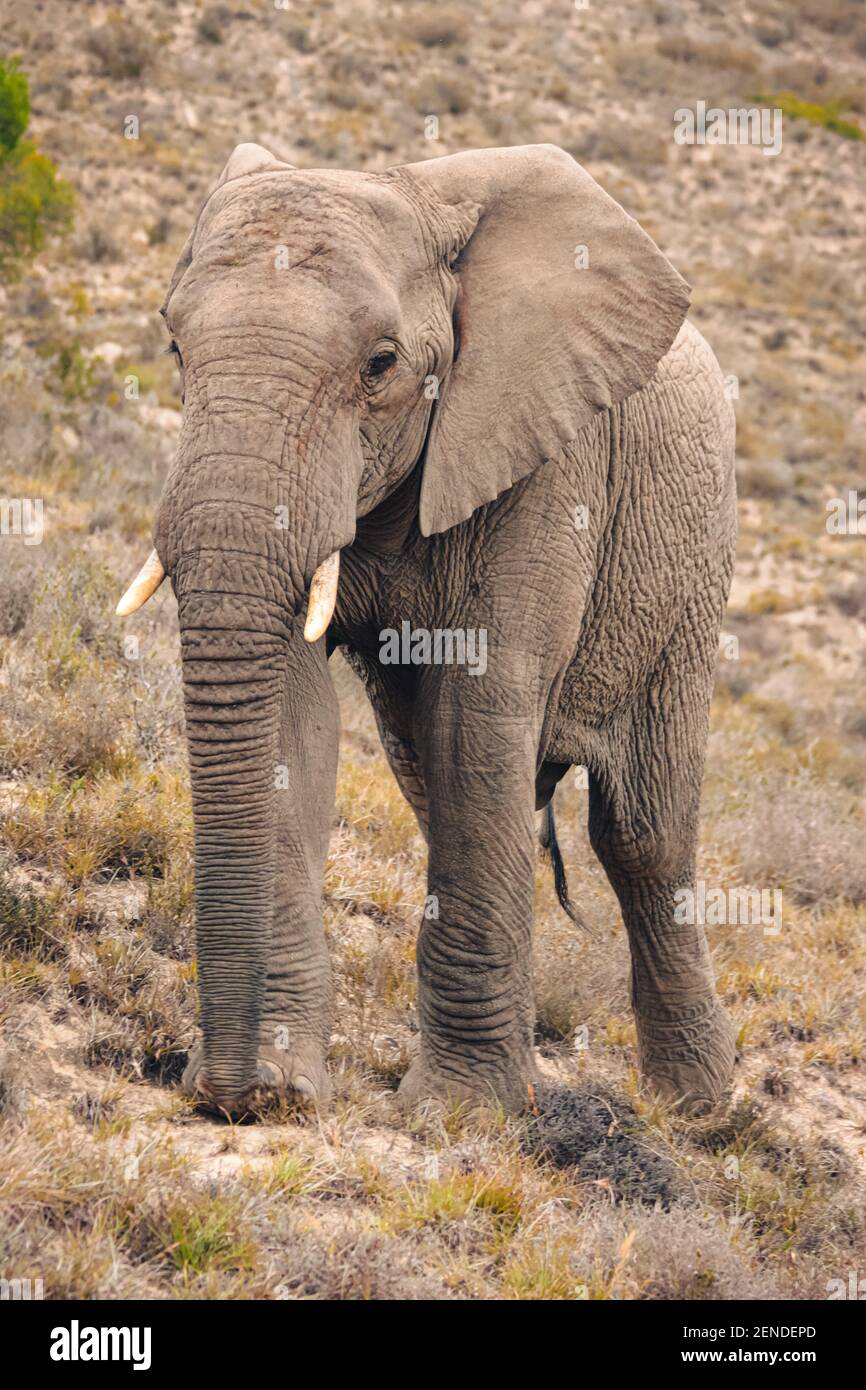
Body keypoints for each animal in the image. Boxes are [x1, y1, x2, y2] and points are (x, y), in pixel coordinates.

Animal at [117, 142, 737, 1118]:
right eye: (176, 346)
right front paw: (283, 1089)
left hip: (690, 566)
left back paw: (699, 1111)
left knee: (642, 831)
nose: (222, 1094)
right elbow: (294, 717)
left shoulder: (548, 460)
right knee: (435, 785)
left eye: (380, 364)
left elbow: (477, 717)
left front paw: (462, 1114)